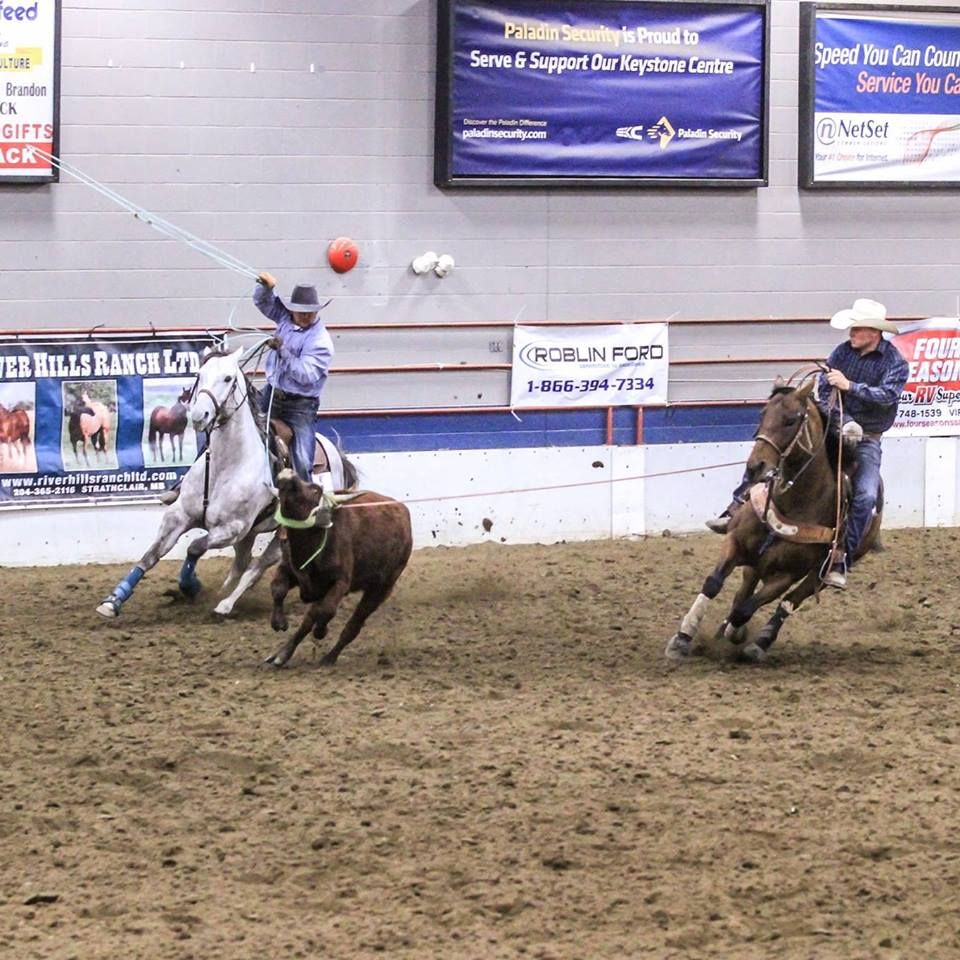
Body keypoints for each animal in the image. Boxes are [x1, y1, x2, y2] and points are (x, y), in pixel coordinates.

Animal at [96, 345, 357, 620]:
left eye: (228, 378)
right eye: (200, 374)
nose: (199, 415)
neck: (225, 466)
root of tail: (335, 454)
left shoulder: (232, 528)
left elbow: (195, 548)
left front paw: (190, 585)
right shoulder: (178, 516)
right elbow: (151, 556)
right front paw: (113, 600)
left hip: (281, 534)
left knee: (256, 567)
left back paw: (225, 604)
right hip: (251, 533)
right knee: (242, 563)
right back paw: (222, 592)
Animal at [665, 377, 882, 663]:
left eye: (790, 420)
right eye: (763, 413)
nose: (755, 467)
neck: (793, 503)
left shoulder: (787, 574)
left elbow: (746, 610)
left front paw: (737, 633)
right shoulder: (735, 543)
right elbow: (713, 584)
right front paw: (683, 637)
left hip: (819, 573)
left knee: (789, 602)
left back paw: (758, 643)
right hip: (755, 565)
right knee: (743, 592)